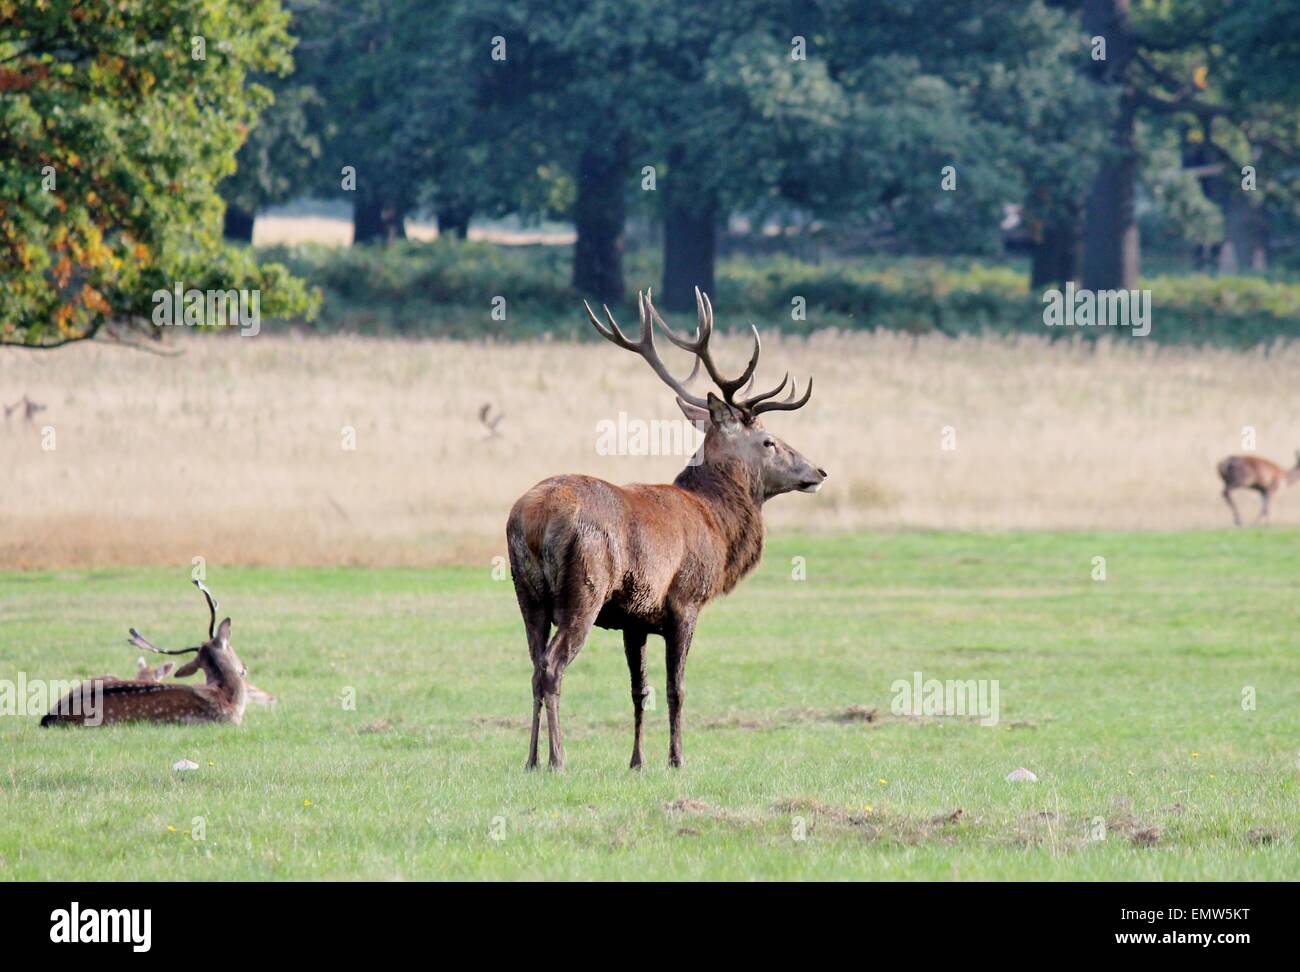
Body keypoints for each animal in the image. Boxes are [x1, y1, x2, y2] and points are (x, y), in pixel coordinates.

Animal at [507, 287, 827, 771]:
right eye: (769, 441)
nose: (818, 471)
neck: (715, 521)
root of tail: (533, 519)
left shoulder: (633, 618)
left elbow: (639, 691)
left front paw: (637, 762)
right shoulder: (684, 601)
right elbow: (677, 688)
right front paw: (677, 760)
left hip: (528, 595)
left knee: (532, 665)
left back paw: (530, 759)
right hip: (585, 588)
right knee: (552, 667)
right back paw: (559, 760)